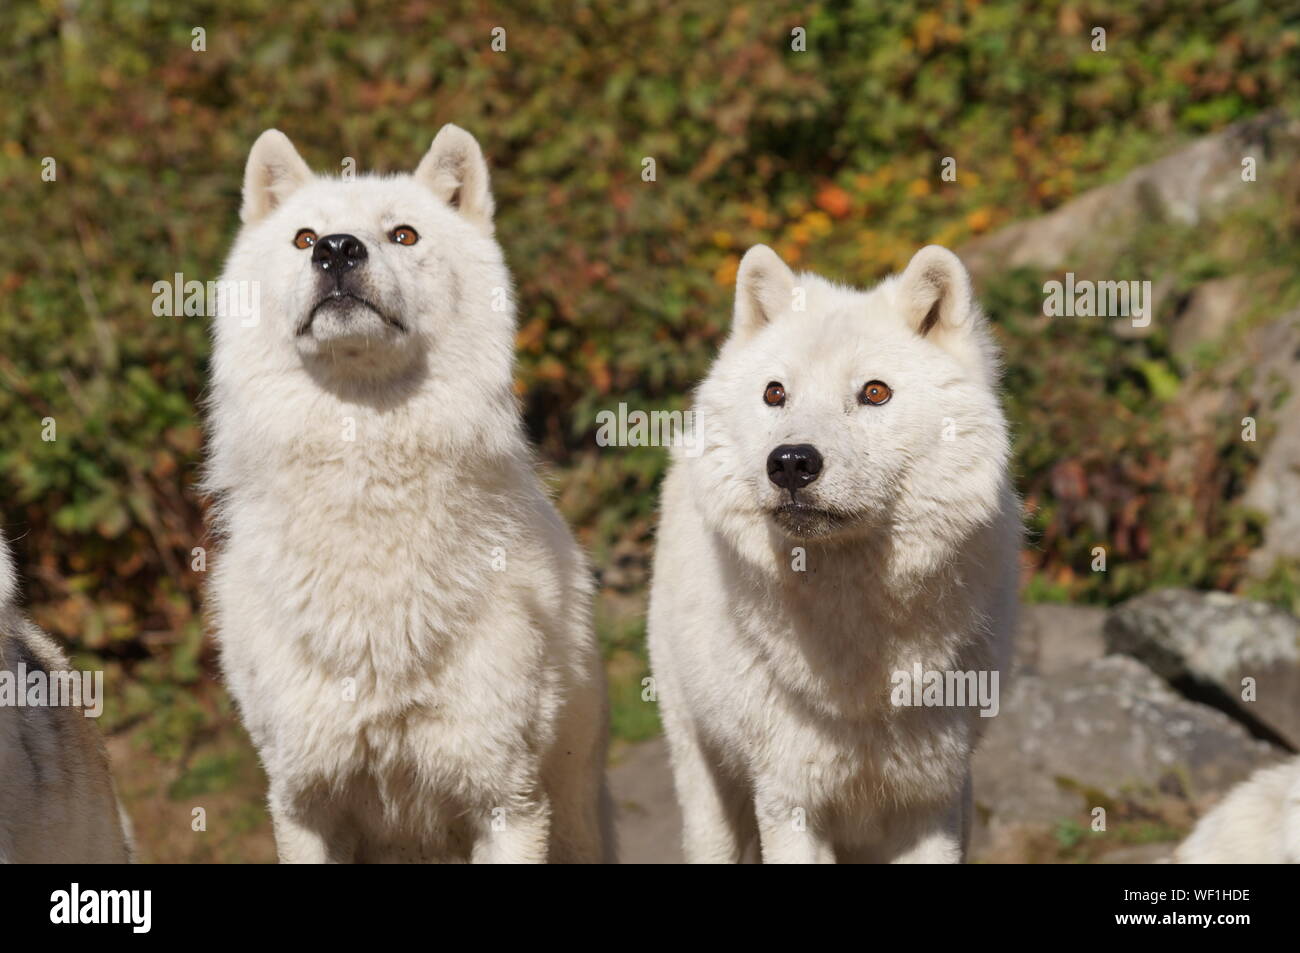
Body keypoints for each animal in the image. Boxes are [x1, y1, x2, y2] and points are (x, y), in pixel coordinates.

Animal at [648, 244, 1021, 863]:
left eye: (874, 392)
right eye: (775, 393)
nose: (791, 462)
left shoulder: (933, 800)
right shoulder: (788, 801)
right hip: (704, 780)